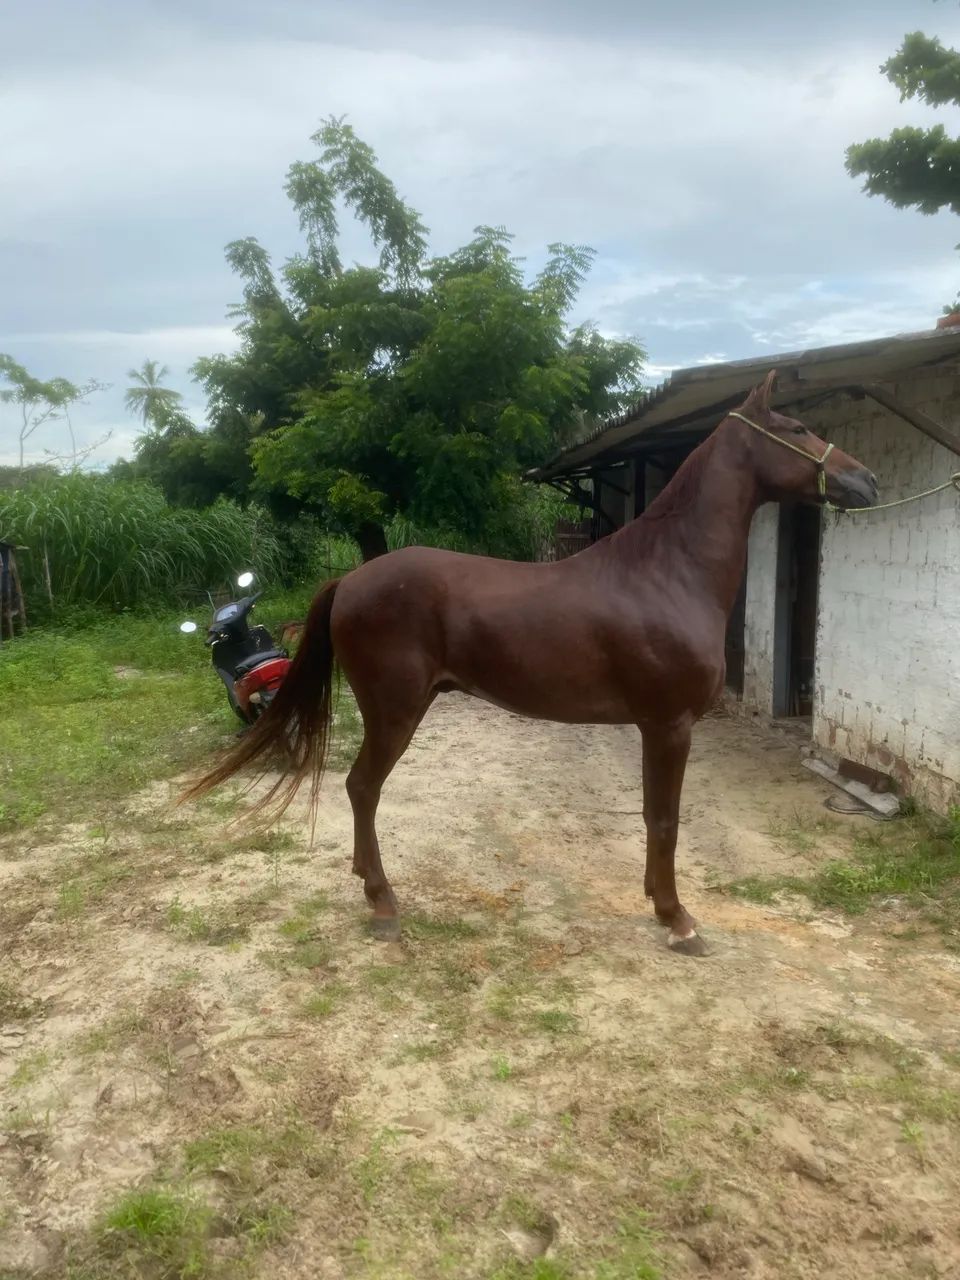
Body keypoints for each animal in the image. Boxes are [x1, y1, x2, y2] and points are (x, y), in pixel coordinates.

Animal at [184, 372, 878, 956]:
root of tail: (352, 580)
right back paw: (383, 903)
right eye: (797, 429)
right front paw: (678, 920)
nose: (865, 481)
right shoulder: (669, 725)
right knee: (362, 788)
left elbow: (654, 817)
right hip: (395, 710)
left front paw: (658, 901)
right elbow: (664, 819)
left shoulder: (658, 727)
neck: (667, 572)